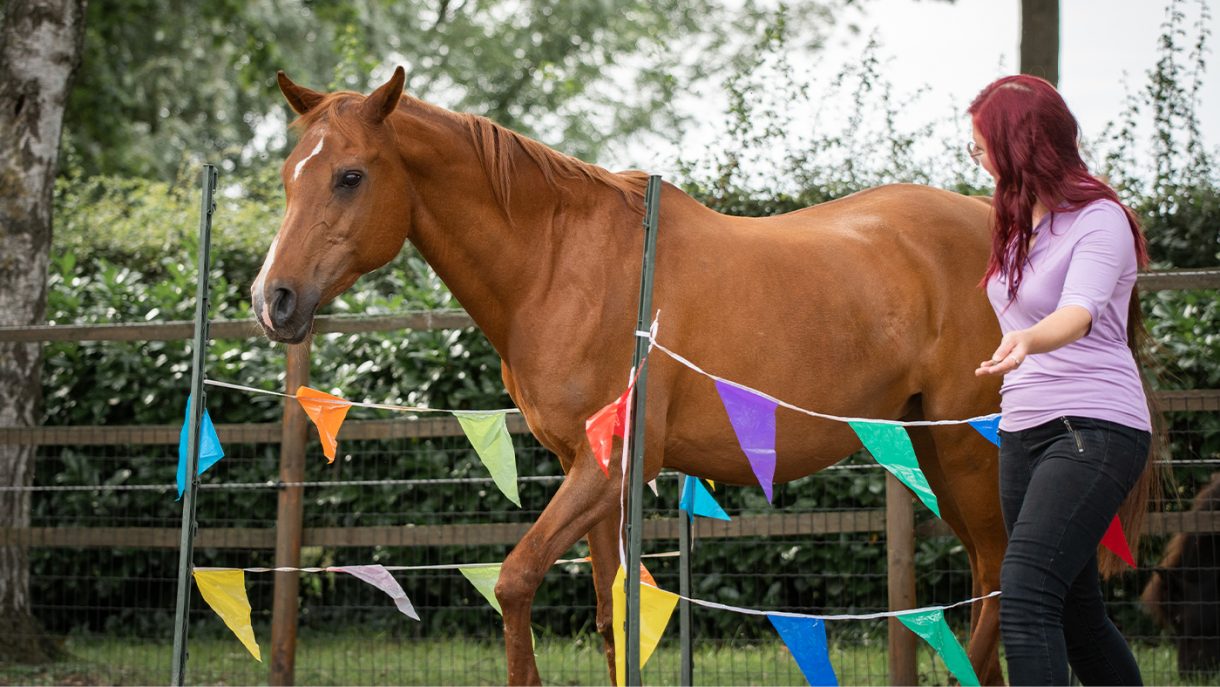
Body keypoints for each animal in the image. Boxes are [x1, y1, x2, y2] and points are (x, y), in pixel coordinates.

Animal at [252, 66, 1009, 685]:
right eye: (289, 175)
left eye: (350, 175)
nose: (271, 300)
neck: (558, 265)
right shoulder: (586, 472)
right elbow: (611, 614)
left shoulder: (610, 464)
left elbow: (517, 580)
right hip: (934, 445)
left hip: (969, 451)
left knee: (997, 573)